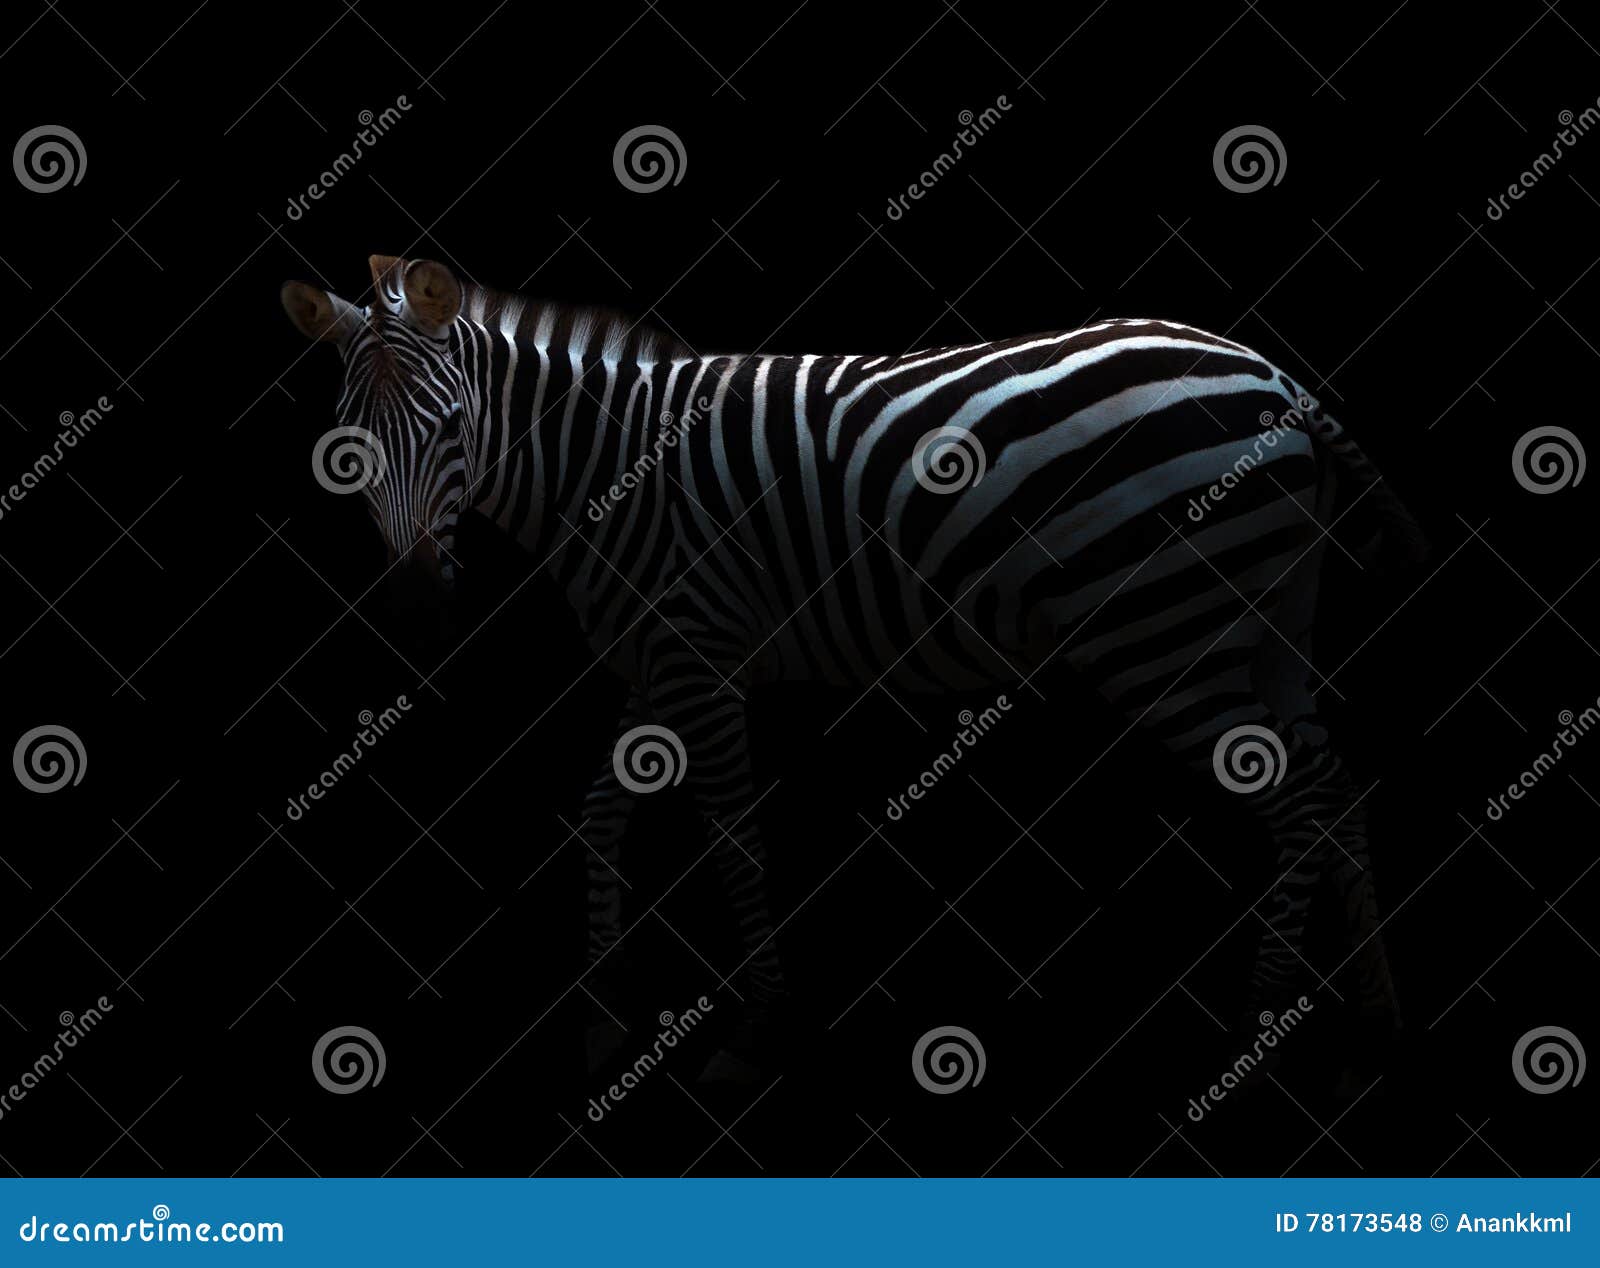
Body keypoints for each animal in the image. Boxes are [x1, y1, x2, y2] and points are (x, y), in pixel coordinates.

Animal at [280, 254, 1428, 1082]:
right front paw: (603, 1019)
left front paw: (757, 1030)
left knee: (1294, 797)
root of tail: (1278, 377)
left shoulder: (700, 652)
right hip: (1269, 620)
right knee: (1330, 781)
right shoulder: (656, 661)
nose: (417, 609)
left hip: (1168, 631)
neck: (608, 472)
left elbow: (732, 835)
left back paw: (1256, 1018)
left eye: (452, 427)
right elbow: (602, 812)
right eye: (345, 445)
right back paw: (1374, 1010)